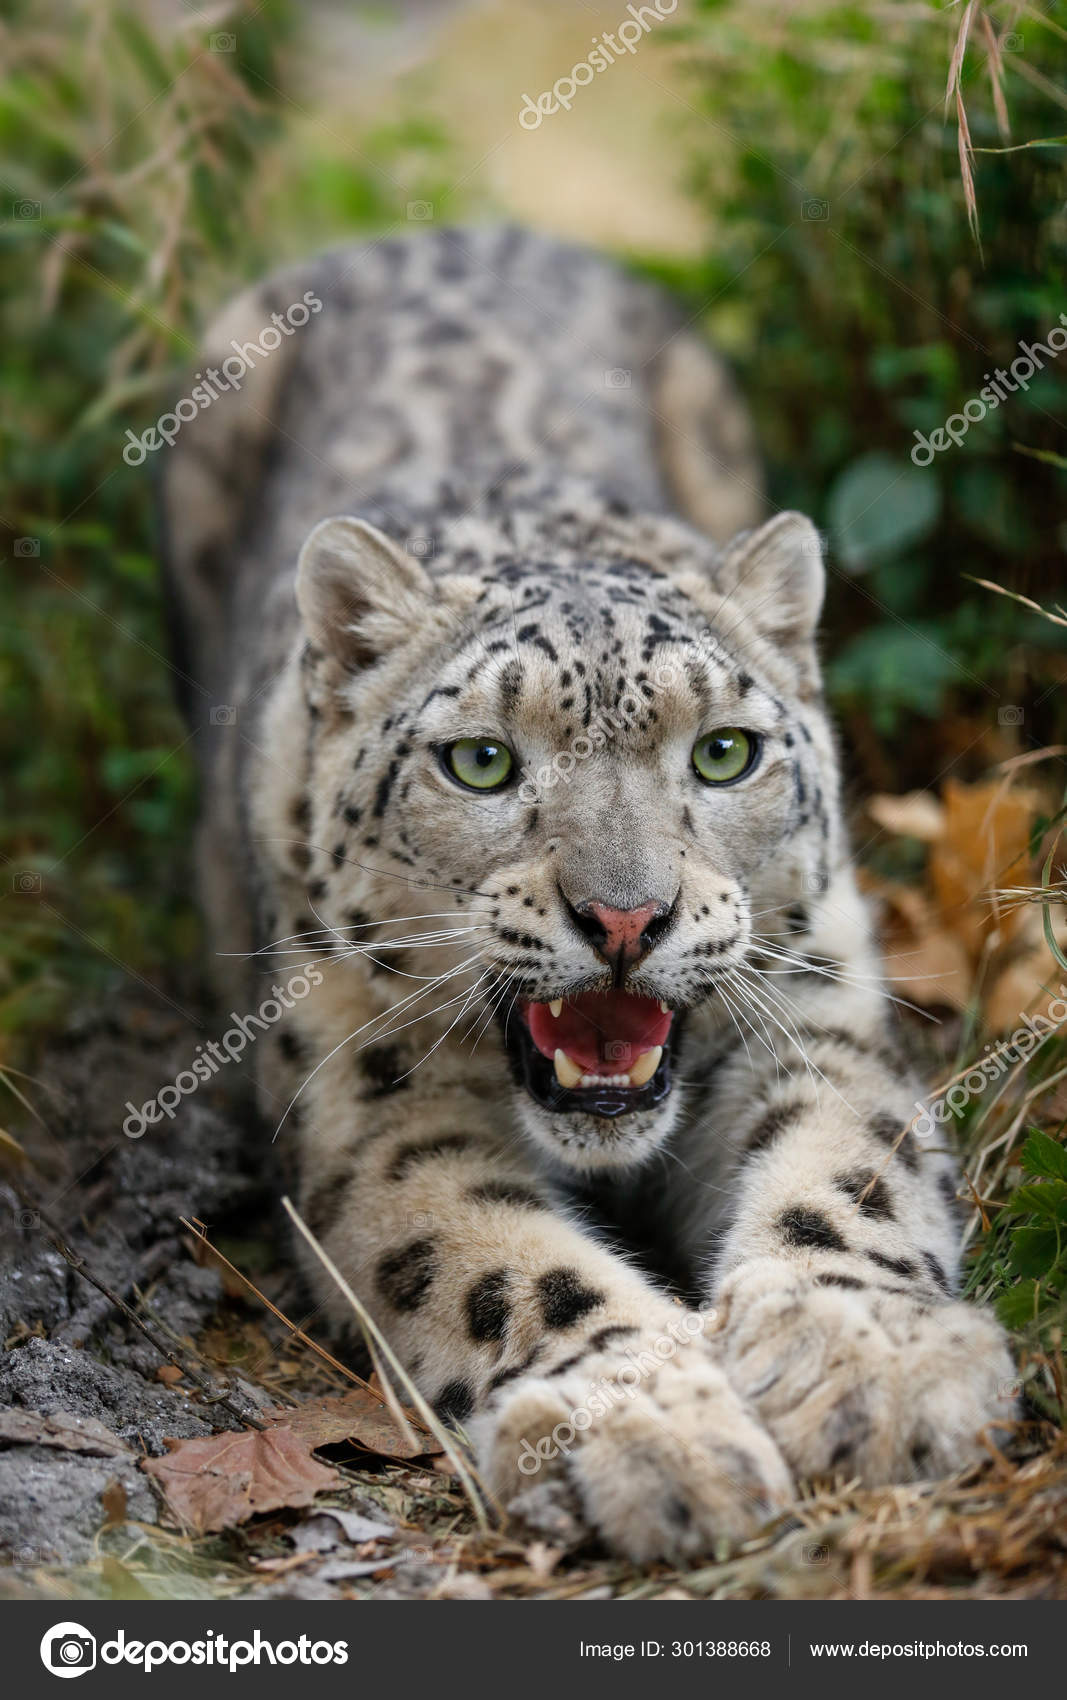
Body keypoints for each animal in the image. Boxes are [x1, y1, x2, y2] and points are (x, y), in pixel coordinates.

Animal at [160, 226, 1015, 1562]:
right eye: (479, 760)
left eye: (722, 751)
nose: (623, 916)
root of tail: (433, 230)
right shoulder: (376, 1101)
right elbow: (495, 1257)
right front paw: (650, 1430)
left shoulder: (808, 1004)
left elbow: (845, 1163)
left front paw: (875, 1367)